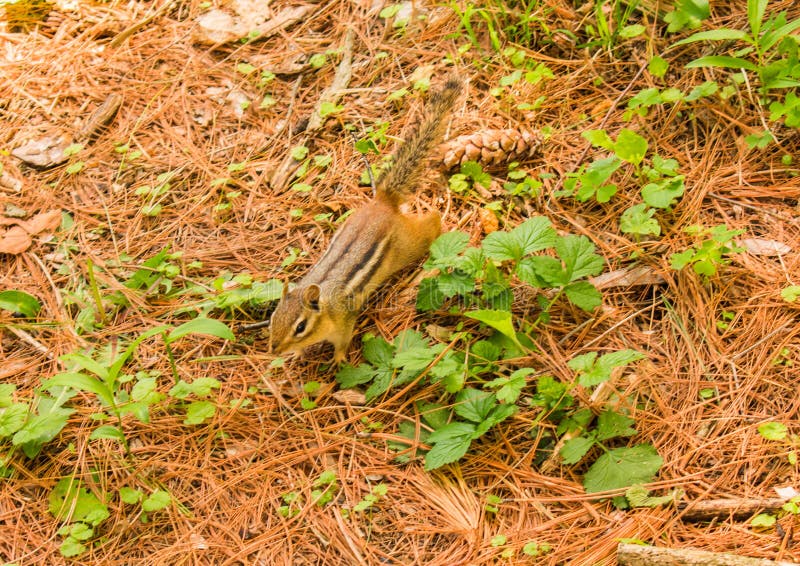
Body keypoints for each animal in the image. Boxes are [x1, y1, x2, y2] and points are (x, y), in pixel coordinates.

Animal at [269, 77, 462, 363]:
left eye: (300, 327)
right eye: (273, 317)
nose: (274, 350)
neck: (325, 306)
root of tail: (382, 202)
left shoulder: (344, 321)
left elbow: (343, 341)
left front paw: (338, 359)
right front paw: (297, 355)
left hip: (408, 246)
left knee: (430, 226)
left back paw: (441, 222)